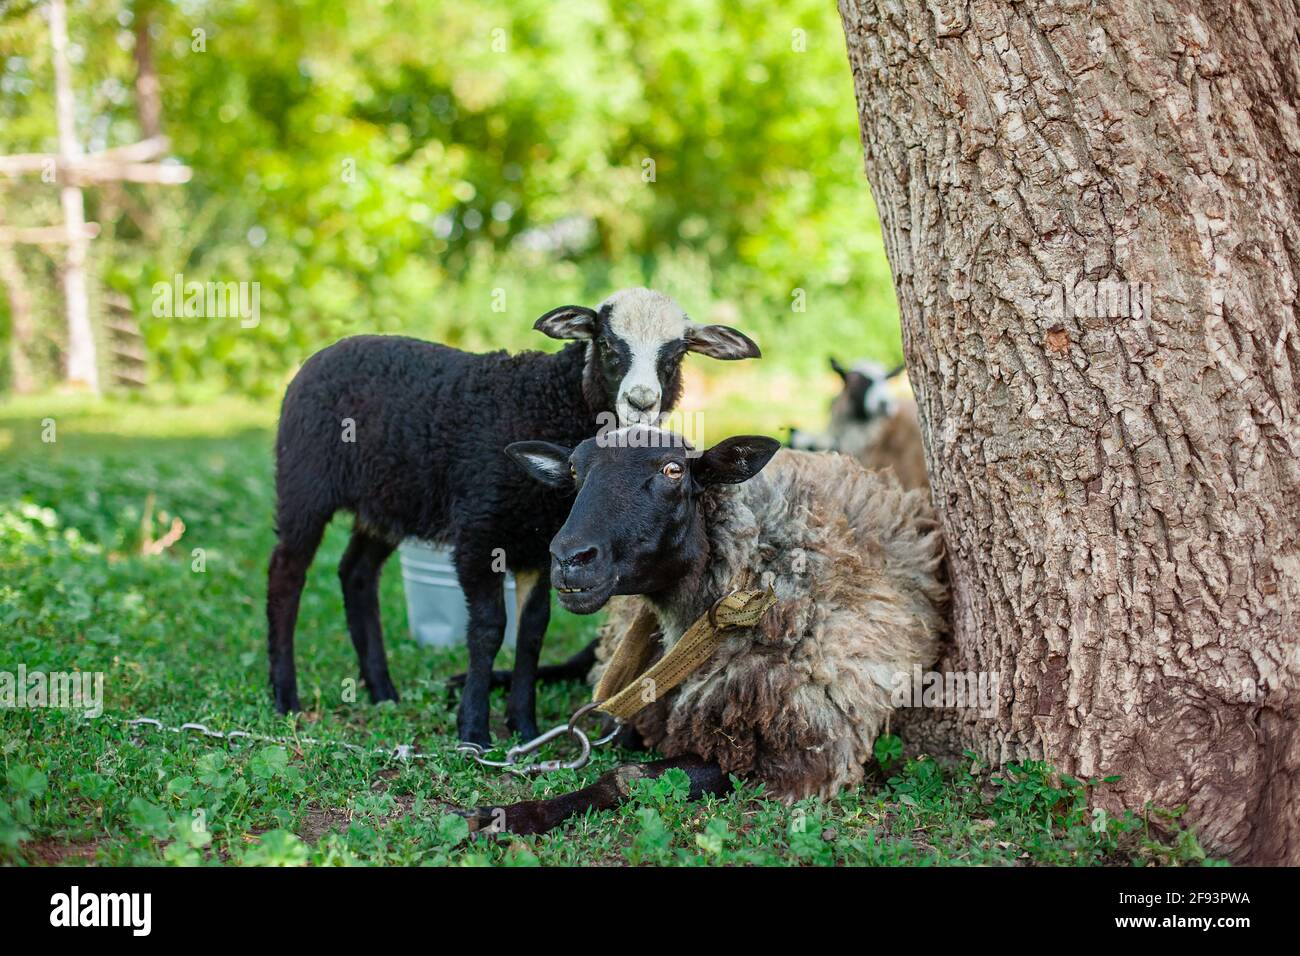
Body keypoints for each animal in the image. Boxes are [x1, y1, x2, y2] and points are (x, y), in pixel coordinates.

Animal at [266, 290, 760, 746]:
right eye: (605, 344)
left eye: (676, 355)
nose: (641, 401)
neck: (550, 401)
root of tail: (326, 352)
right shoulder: (479, 532)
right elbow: (488, 631)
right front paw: (473, 732)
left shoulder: (544, 548)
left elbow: (532, 632)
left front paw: (524, 726)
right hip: (304, 484)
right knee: (286, 575)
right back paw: (285, 697)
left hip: (384, 505)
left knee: (357, 573)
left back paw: (382, 691)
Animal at [460, 425, 947, 834]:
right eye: (576, 470)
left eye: (673, 470)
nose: (568, 558)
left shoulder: (784, 754)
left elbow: (625, 777)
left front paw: (516, 815)